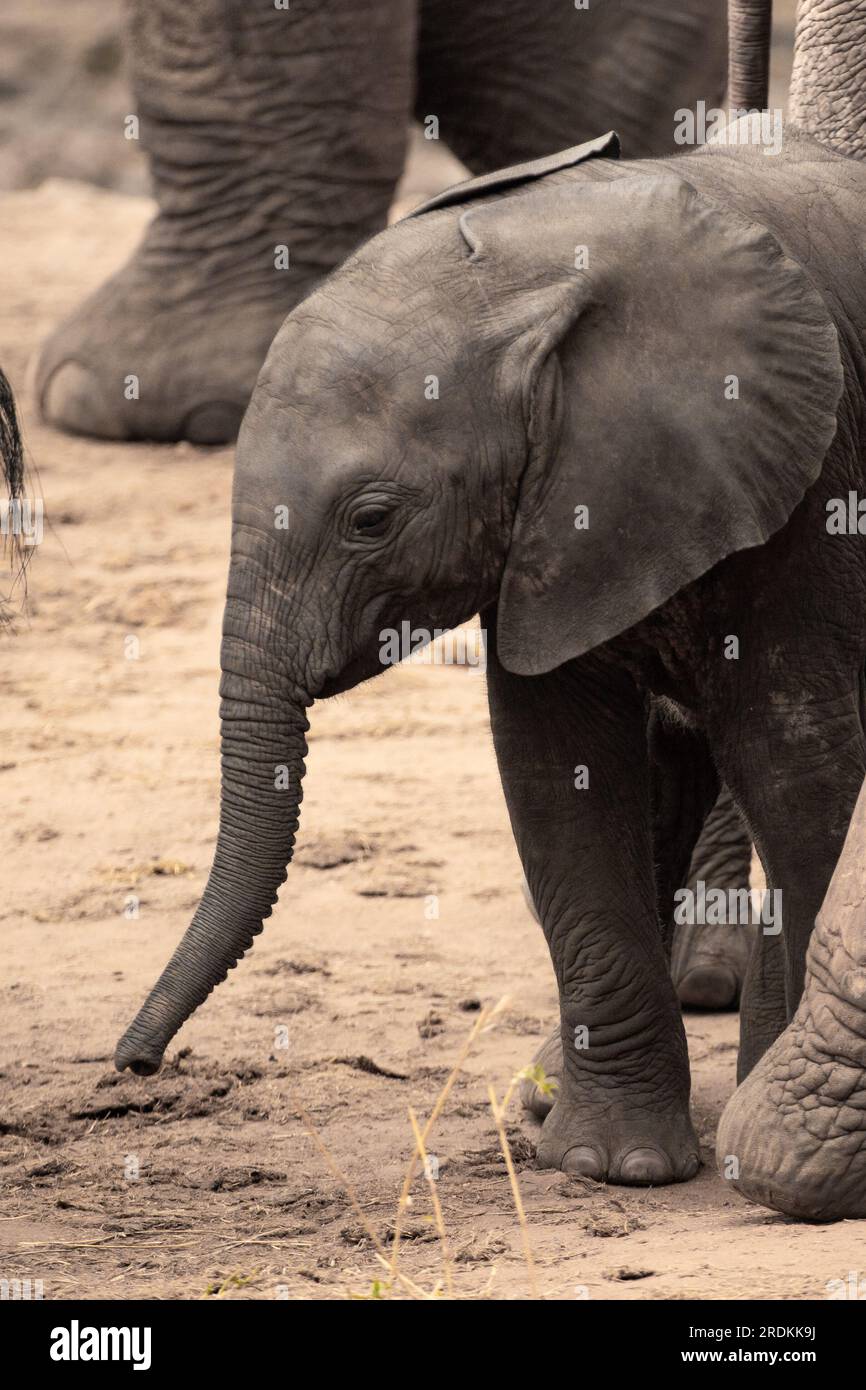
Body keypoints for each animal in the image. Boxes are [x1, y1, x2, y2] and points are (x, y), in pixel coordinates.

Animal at [114, 0, 866, 1210]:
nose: (133, 1065)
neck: (535, 285)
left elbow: (798, 770)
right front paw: (612, 1167)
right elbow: (560, 773)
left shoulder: (798, 484)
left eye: (371, 519)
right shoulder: (561, 520)